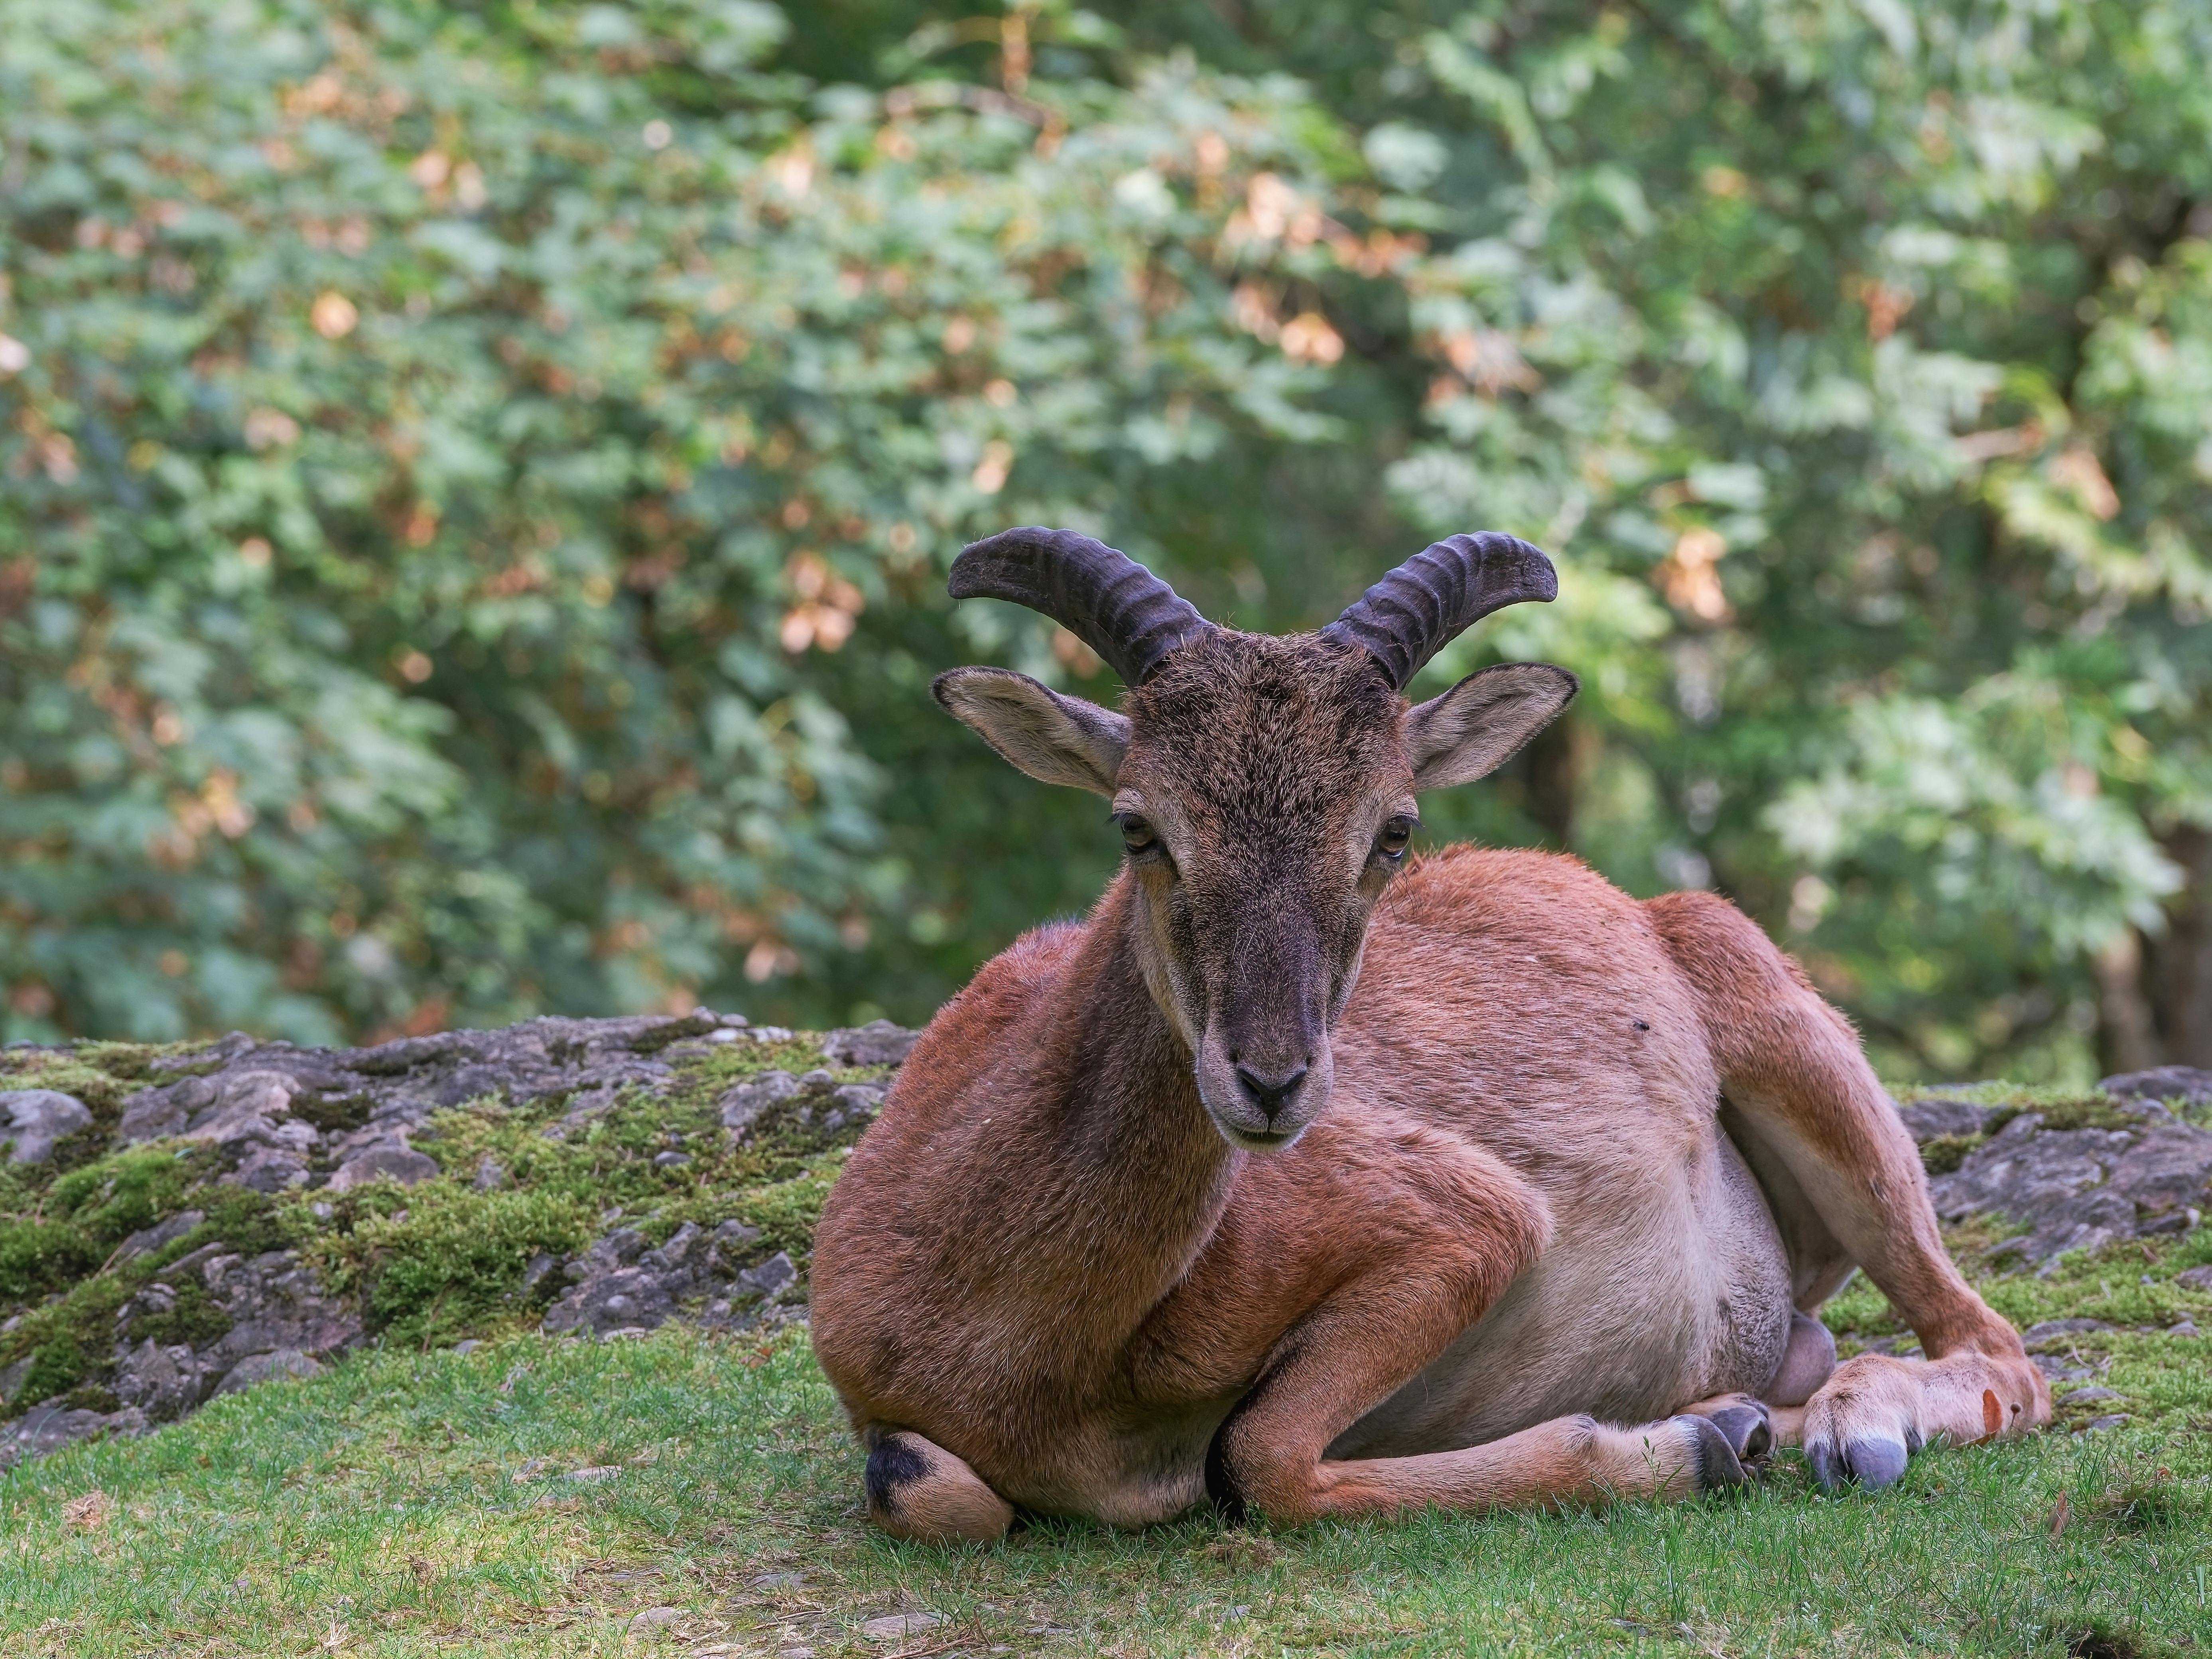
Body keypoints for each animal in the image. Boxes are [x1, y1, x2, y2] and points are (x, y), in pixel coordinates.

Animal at [810, 528, 2050, 1539]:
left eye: (1393, 829)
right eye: (1136, 825)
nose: (1272, 1082)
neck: (1022, 1338)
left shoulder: (1462, 1220)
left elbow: (1258, 1457)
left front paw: (1697, 1447)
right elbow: (922, 1486)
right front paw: (1713, 1430)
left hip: (1808, 1068)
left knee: (1994, 1352)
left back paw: (1848, 1429)